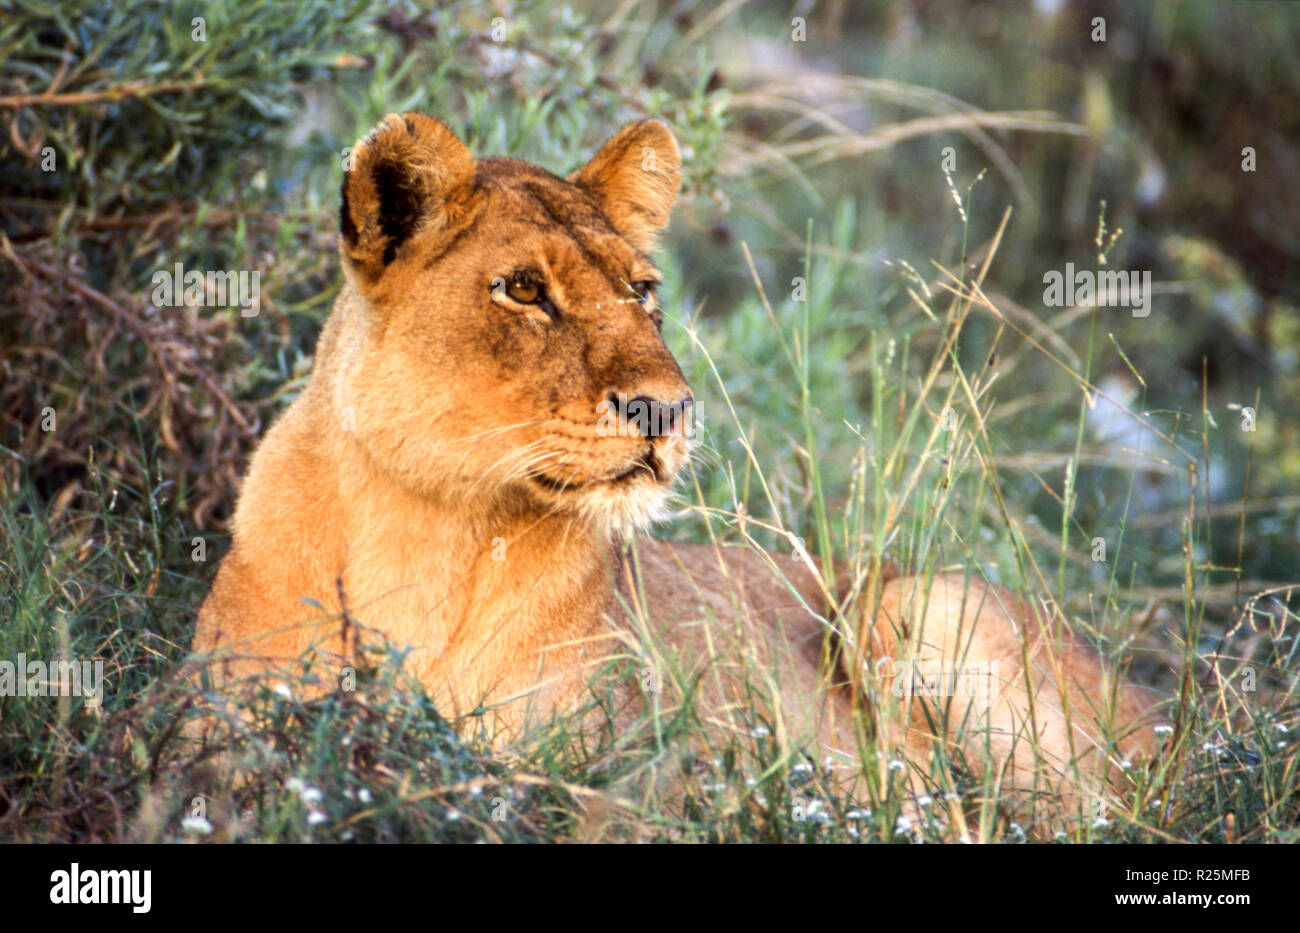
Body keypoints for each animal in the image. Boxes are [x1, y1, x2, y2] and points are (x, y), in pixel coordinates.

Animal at [192, 112, 1162, 822]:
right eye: (525, 290)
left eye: (642, 291)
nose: (667, 409)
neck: (433, 529)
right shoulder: (222, 740)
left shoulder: (622, 782)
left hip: (927, 604)